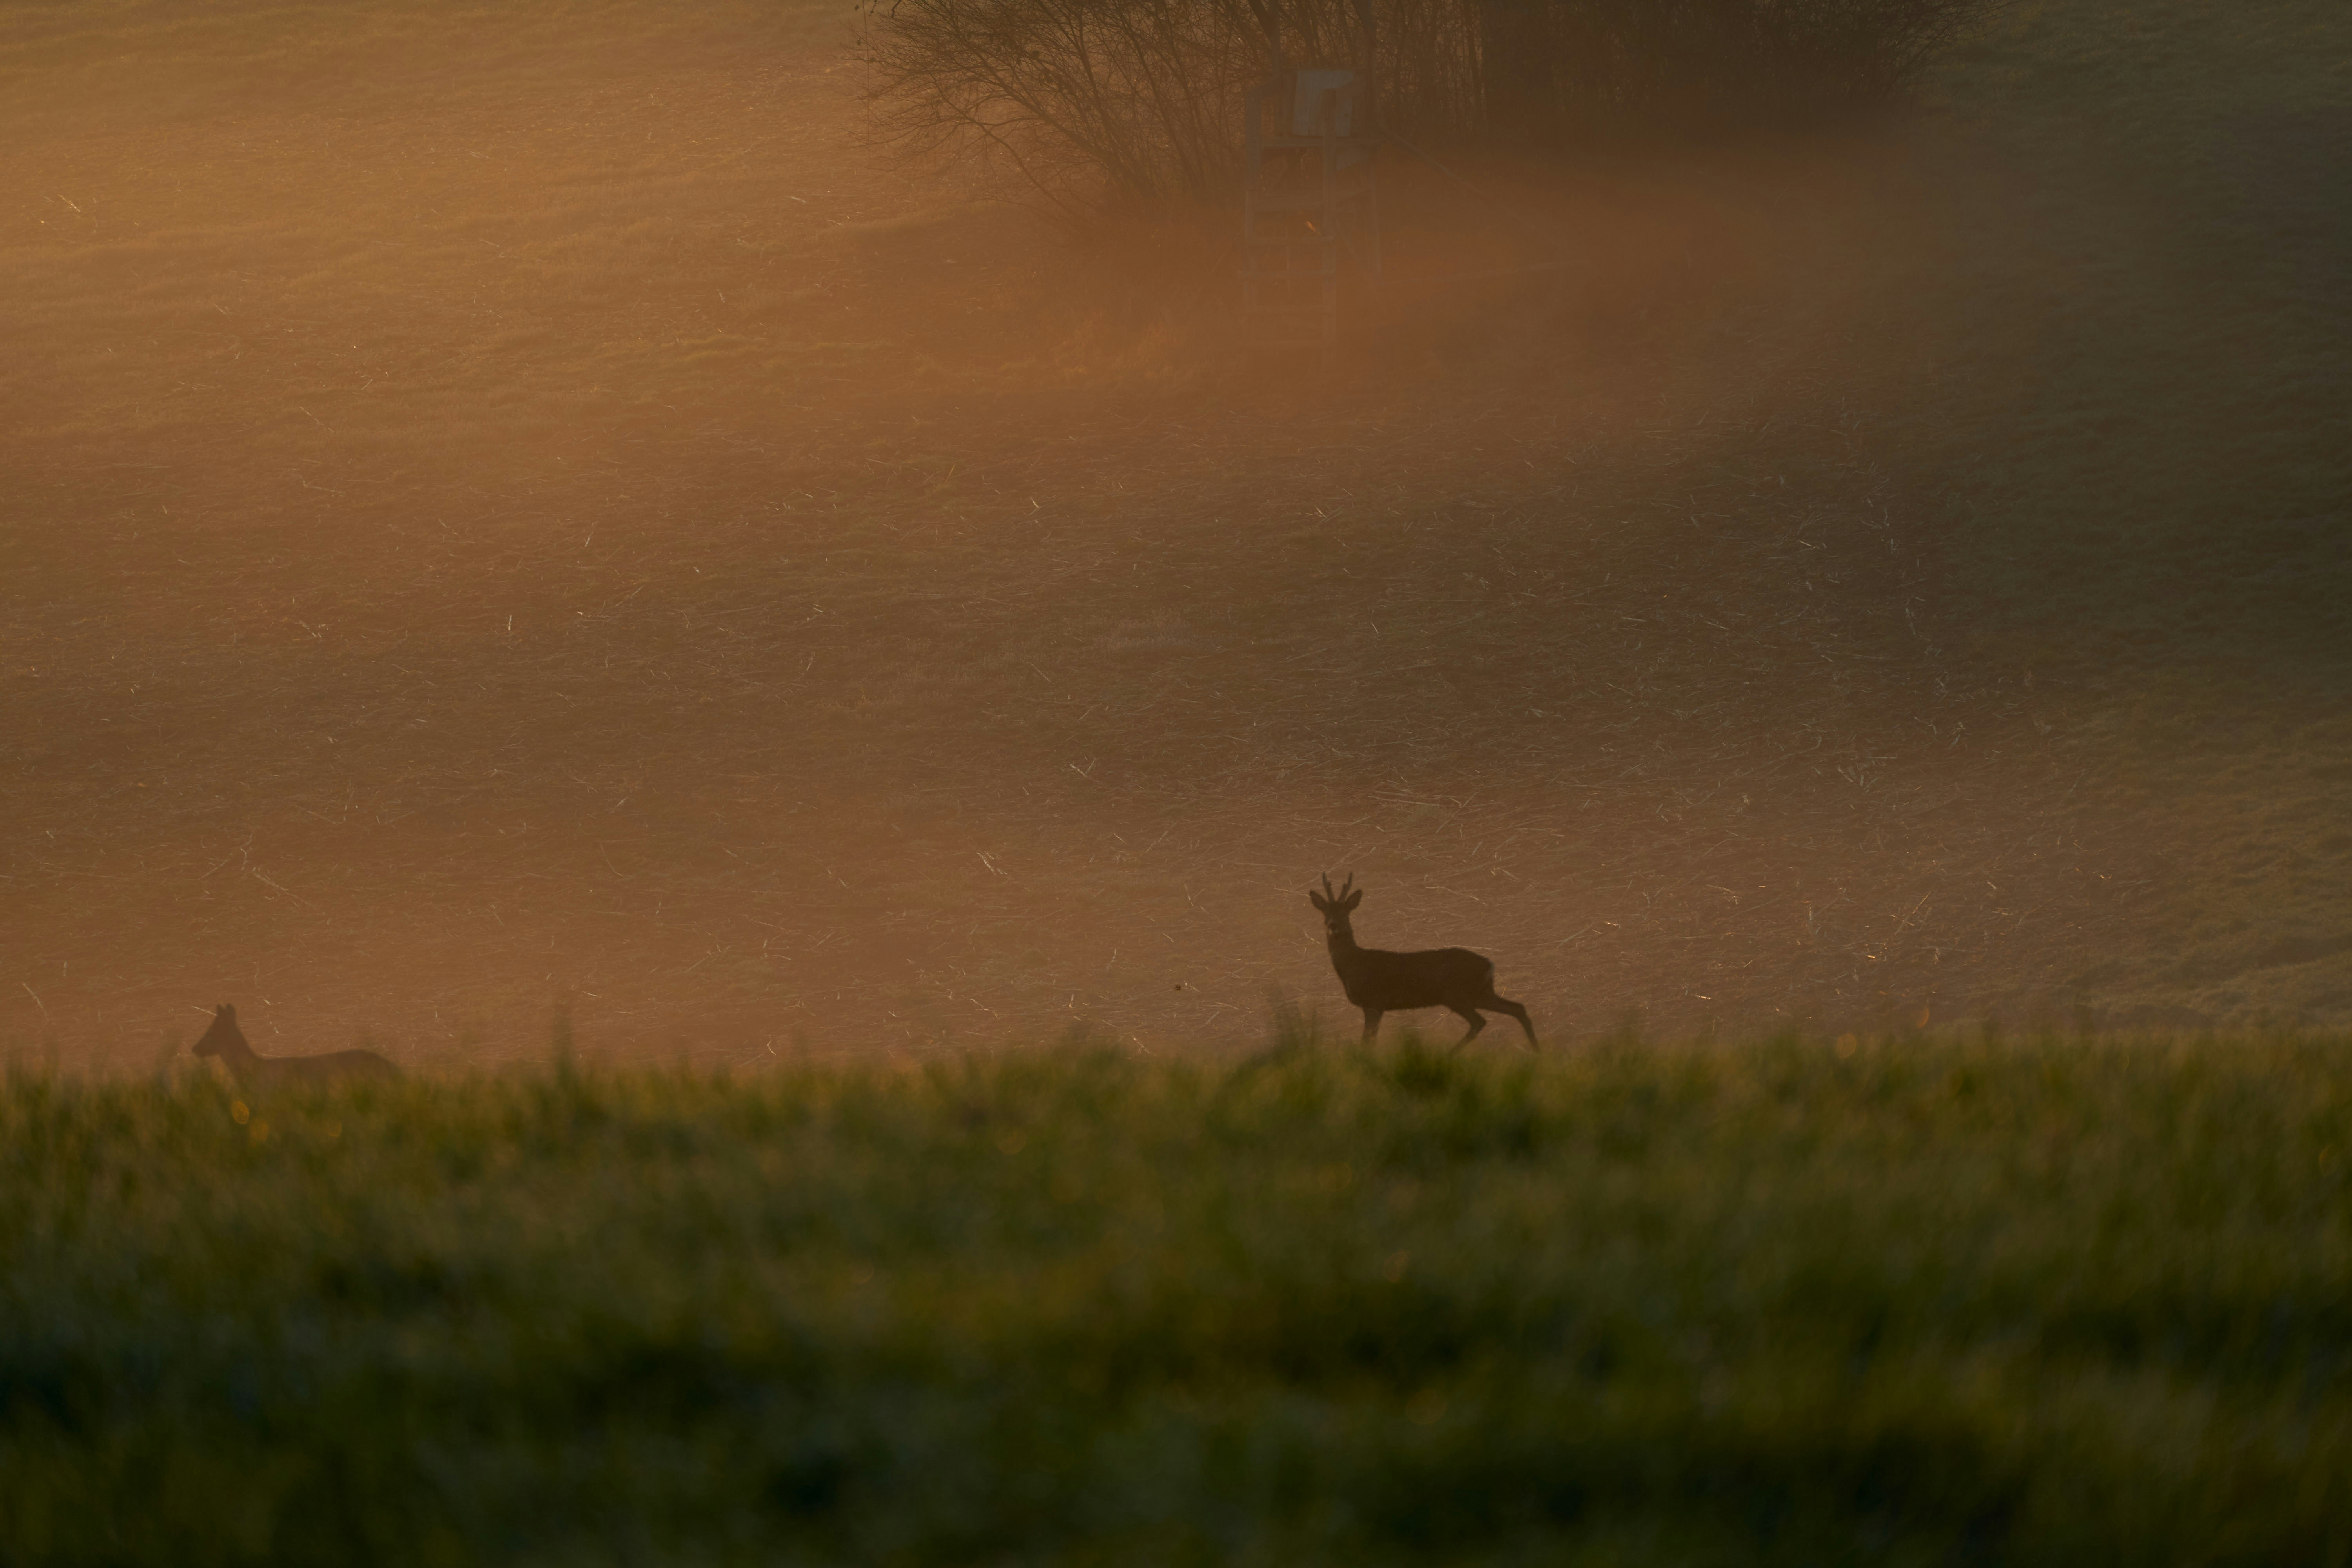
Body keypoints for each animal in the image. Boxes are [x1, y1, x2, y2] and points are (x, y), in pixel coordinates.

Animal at [1309, 875, 1538, 1050]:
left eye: (1345, 912)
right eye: (1326, 912)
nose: (1333, 925)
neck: (1353, 964)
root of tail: (1490, 964)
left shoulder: (1375, 1002)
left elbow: (1368, 1042)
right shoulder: (1373, 1006)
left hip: (1457, 994)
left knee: (1480, 1022)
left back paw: (1450, 1054)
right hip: (1481, 992)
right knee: (1517, 1008)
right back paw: (1536, 1051)